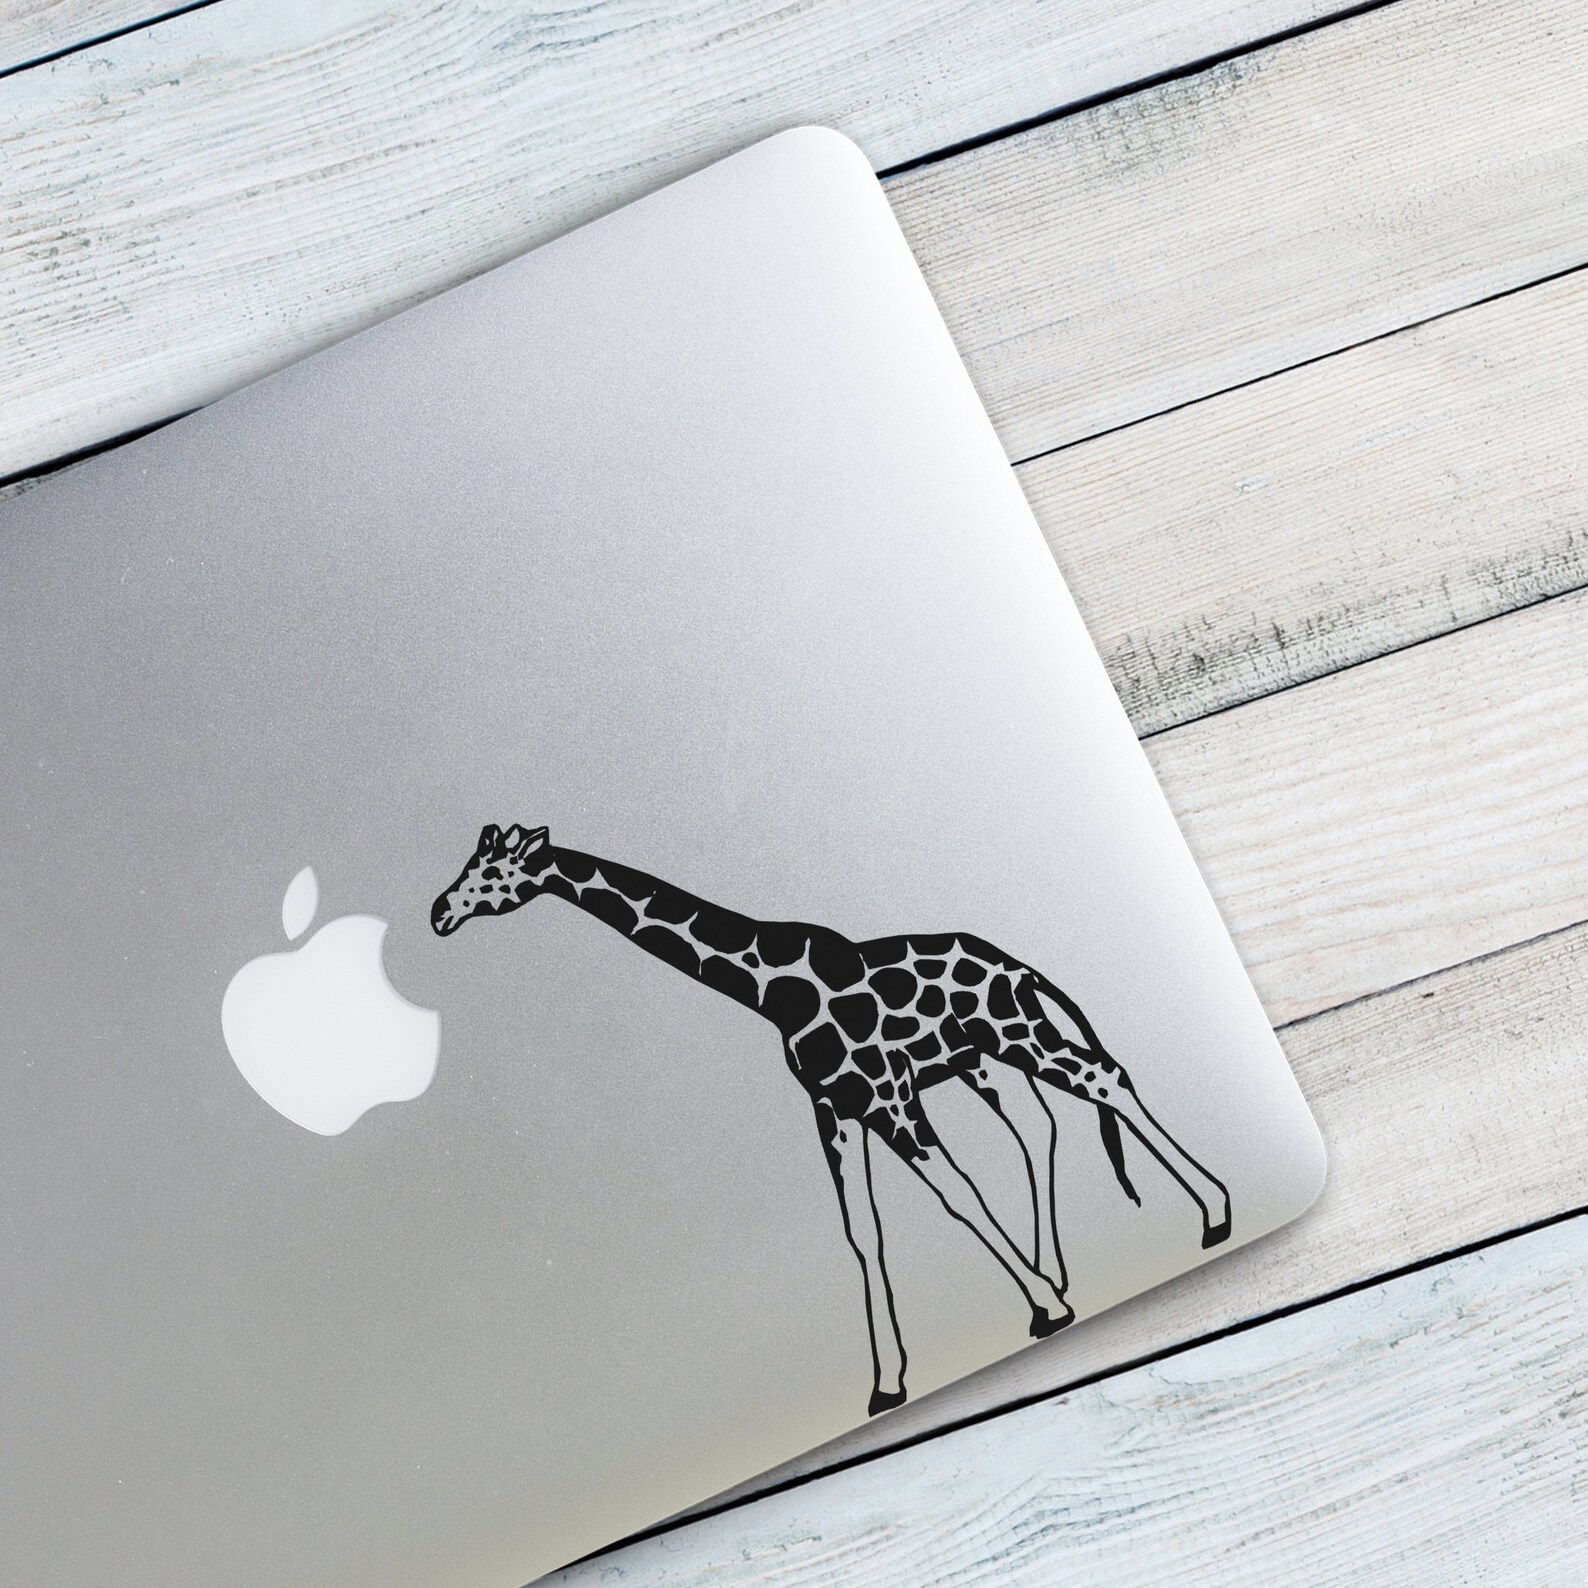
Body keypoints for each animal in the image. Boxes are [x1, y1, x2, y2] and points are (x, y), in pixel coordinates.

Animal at [432, 823, 1231, 1416]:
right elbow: (863, 1233)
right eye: (469, 862)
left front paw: (1043, 1311)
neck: (771, 990)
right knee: (1045, 1124)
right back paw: (1063, 1269)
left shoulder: (884, 1091)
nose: (438, 912)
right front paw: (888, 1385)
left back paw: (1212, 1216)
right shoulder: (835, 1108)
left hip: (1013, 1037)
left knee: (1105, 1080)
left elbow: (958, 1193)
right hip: (981, 1059)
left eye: (491, 871)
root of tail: (1019, 967)